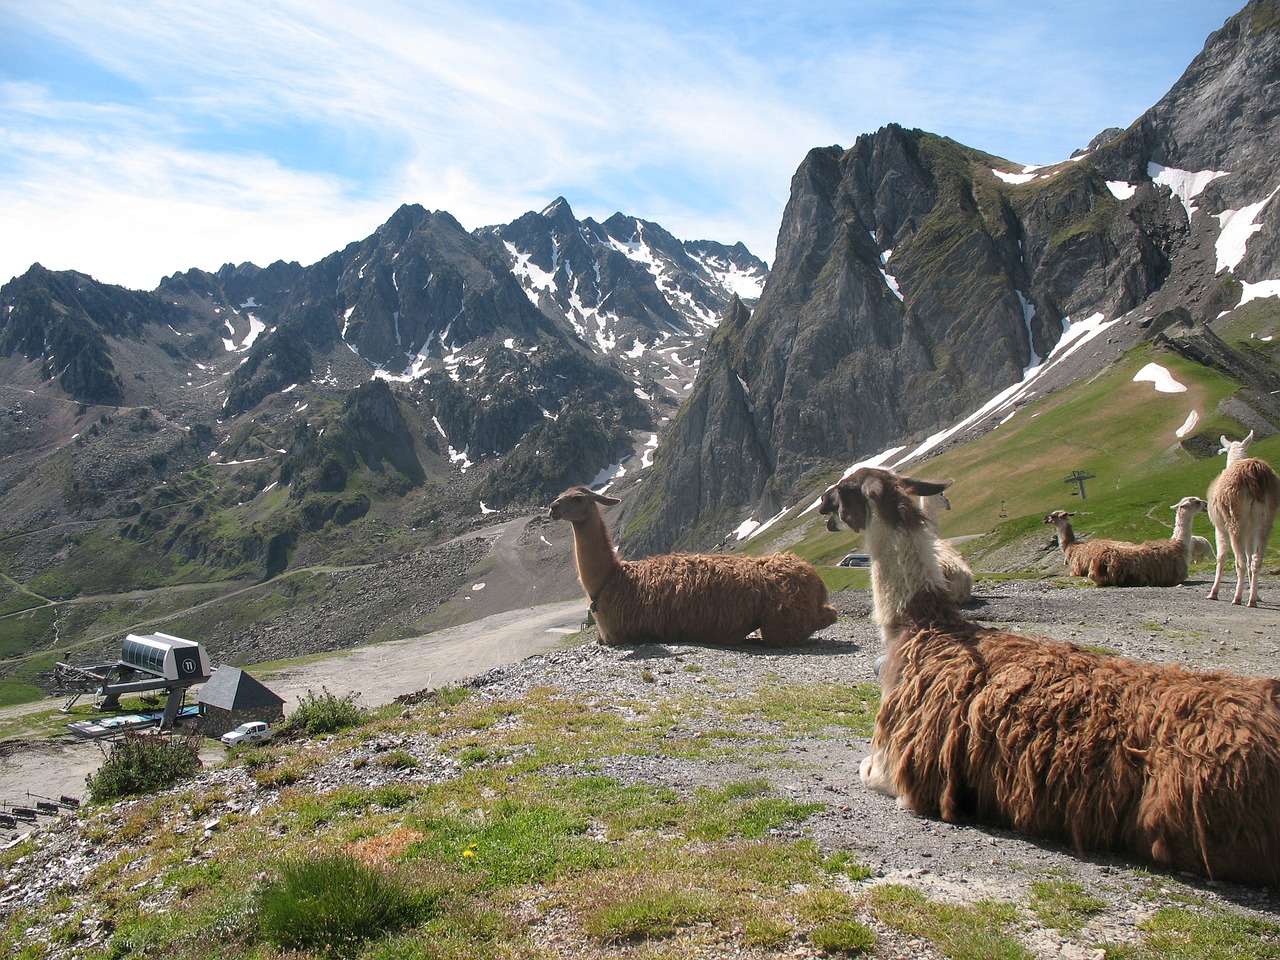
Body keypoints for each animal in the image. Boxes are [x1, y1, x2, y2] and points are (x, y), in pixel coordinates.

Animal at [549, 485, 837, 646]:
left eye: (577, 498)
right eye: (560, 494)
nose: (552, 508)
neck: (611, 579)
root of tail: (812, 574)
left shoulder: (618, 634)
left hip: (782, 620)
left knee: (822, 619)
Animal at [1207, 431, 1280, 607]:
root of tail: (1254, 472)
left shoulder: (1219, 527)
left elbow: (1221, 556)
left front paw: (1213, 592)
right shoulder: (1250, 531)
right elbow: (1249, 556)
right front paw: (1258, 595)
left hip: (1235, 517)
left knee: (1239, 560)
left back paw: (1237, 597)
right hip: (1266, 517)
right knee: (1256, 559)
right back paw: (1253, 599)